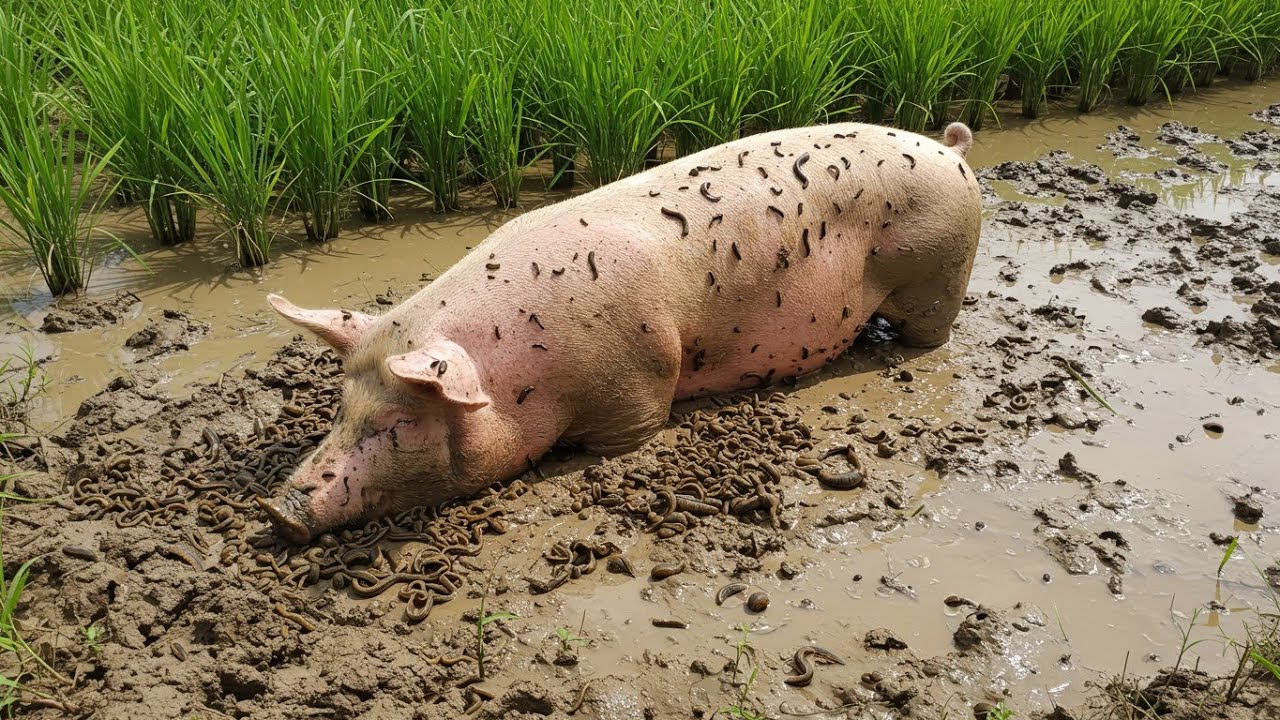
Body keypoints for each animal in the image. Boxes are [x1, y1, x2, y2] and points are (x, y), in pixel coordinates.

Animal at [259, 121, 981, 542]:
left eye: (401, 422)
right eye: (342, 410)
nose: (277, 510)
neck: (518, 373)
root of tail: (950, 147)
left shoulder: (638, 384)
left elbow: (632, 429)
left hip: (940, 270)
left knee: (931, 331)